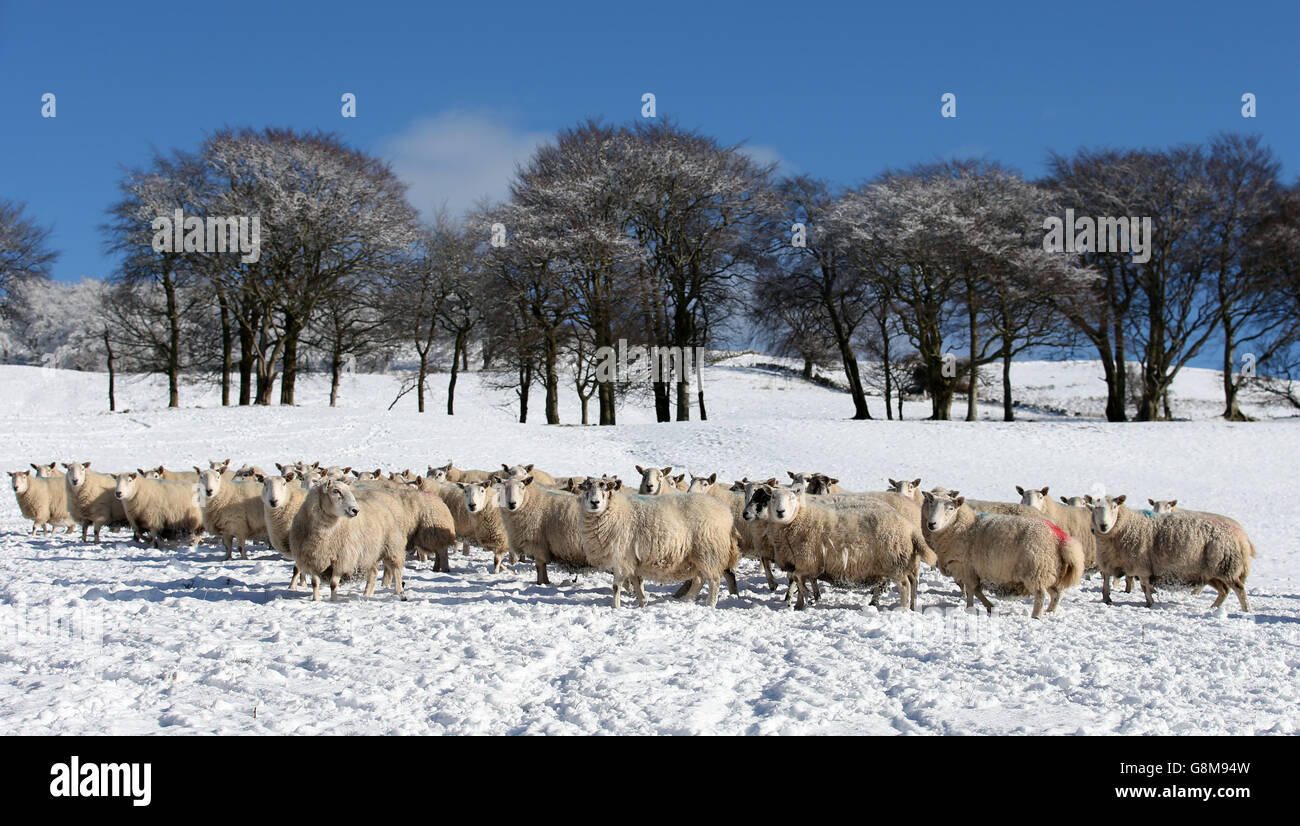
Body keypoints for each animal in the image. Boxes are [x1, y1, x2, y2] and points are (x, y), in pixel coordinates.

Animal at [574, 477, 739, 608]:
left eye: (605, 488)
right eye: (586, 488)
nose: (595, 502)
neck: (614, 511)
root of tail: (726, 512)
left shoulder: (621, 557)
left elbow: (616, 586)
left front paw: (616, 607)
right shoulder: (632, 558)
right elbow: (637, 581)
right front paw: (642, 602)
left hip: (708, 550)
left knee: (714, 580)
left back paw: (709, 604)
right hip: (697, 555)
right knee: (699, 579)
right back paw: (687, 600)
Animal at [921, 490, 1084, 618]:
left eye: (951, 508)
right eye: (931, 503)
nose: (932, 524)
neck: (964, 527)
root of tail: (1060, 539)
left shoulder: (966, 567)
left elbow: (972, 590)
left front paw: (970, 608)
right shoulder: (974, 570)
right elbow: (976, 590)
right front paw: (989, 607)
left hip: (1035, 571)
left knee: (1041, 596)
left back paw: (1036, 616)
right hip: (1050, 571)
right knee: (1056, 594)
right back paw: (1050, 612)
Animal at [1085, 494, 1252, 611]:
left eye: (1114, 506)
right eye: (1095, 507)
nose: (1103, 525)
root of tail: (1234, 534)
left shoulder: (1142, 565)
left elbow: (1144, 585)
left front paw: (1150, 602)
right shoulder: (1107, 560)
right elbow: (1107, 580)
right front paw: (1106, 598)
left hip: (1225, 566)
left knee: (1239, 590)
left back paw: (1246, 610)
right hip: (1211, 573)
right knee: (1224, 591)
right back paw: (1214, 607)